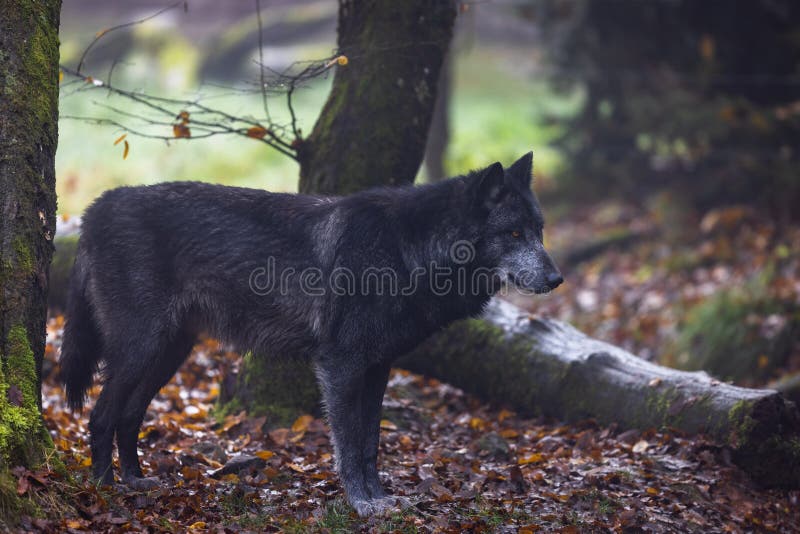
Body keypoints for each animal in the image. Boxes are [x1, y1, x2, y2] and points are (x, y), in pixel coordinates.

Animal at [59, 152, 562, 516]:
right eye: (513, 234)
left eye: (539, 230)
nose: (557, 279)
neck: (407, 249)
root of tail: (93, 210)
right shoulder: (340, 365)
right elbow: (348, 445)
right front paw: (362, 505)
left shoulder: (377, 368)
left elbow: (370, 444)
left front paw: (381, 499)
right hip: (141, 349)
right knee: (100, 415)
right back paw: (105, 489)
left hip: (168, 352)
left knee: (129, 416)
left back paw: (134, 480)